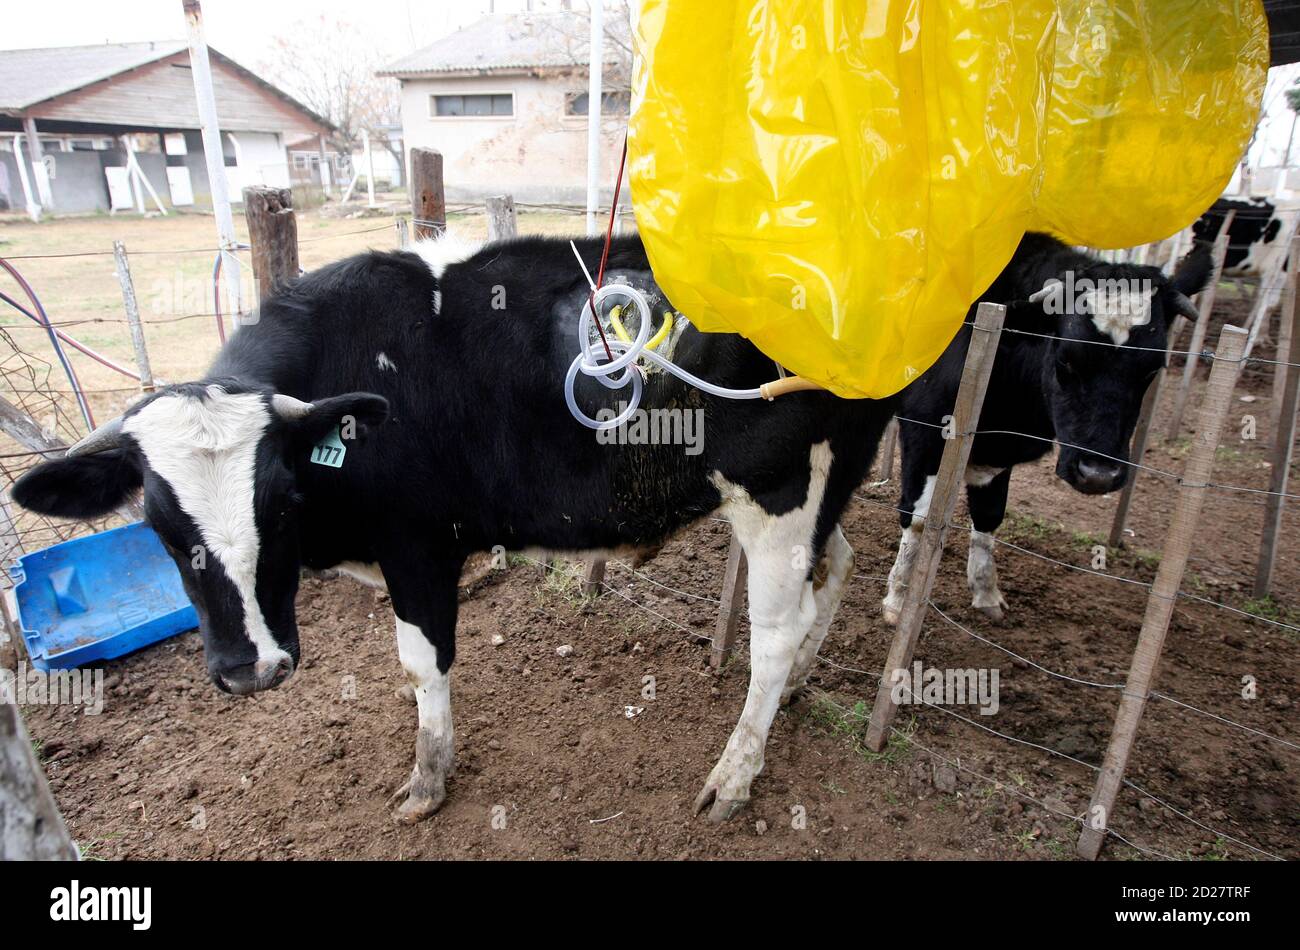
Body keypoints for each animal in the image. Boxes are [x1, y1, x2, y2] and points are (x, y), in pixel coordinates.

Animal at [12, 232, 895, 824]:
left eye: (280, 501)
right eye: (159, 525)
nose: (247, 669)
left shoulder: (418, 546)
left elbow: (422, 665)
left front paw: (426, 782)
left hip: (777, 494)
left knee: (776, 634)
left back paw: (733, 776)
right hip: (828, 485)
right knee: (837, 570)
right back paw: (801, 685)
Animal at [880, 232, 1212, 625]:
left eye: (1151, 368)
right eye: (1065, 359)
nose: (1097, 474)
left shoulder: (996, 449)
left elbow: (989, 514)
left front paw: (986, 592)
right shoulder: (924, 430)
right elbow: (918, 518)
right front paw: (899, 600)